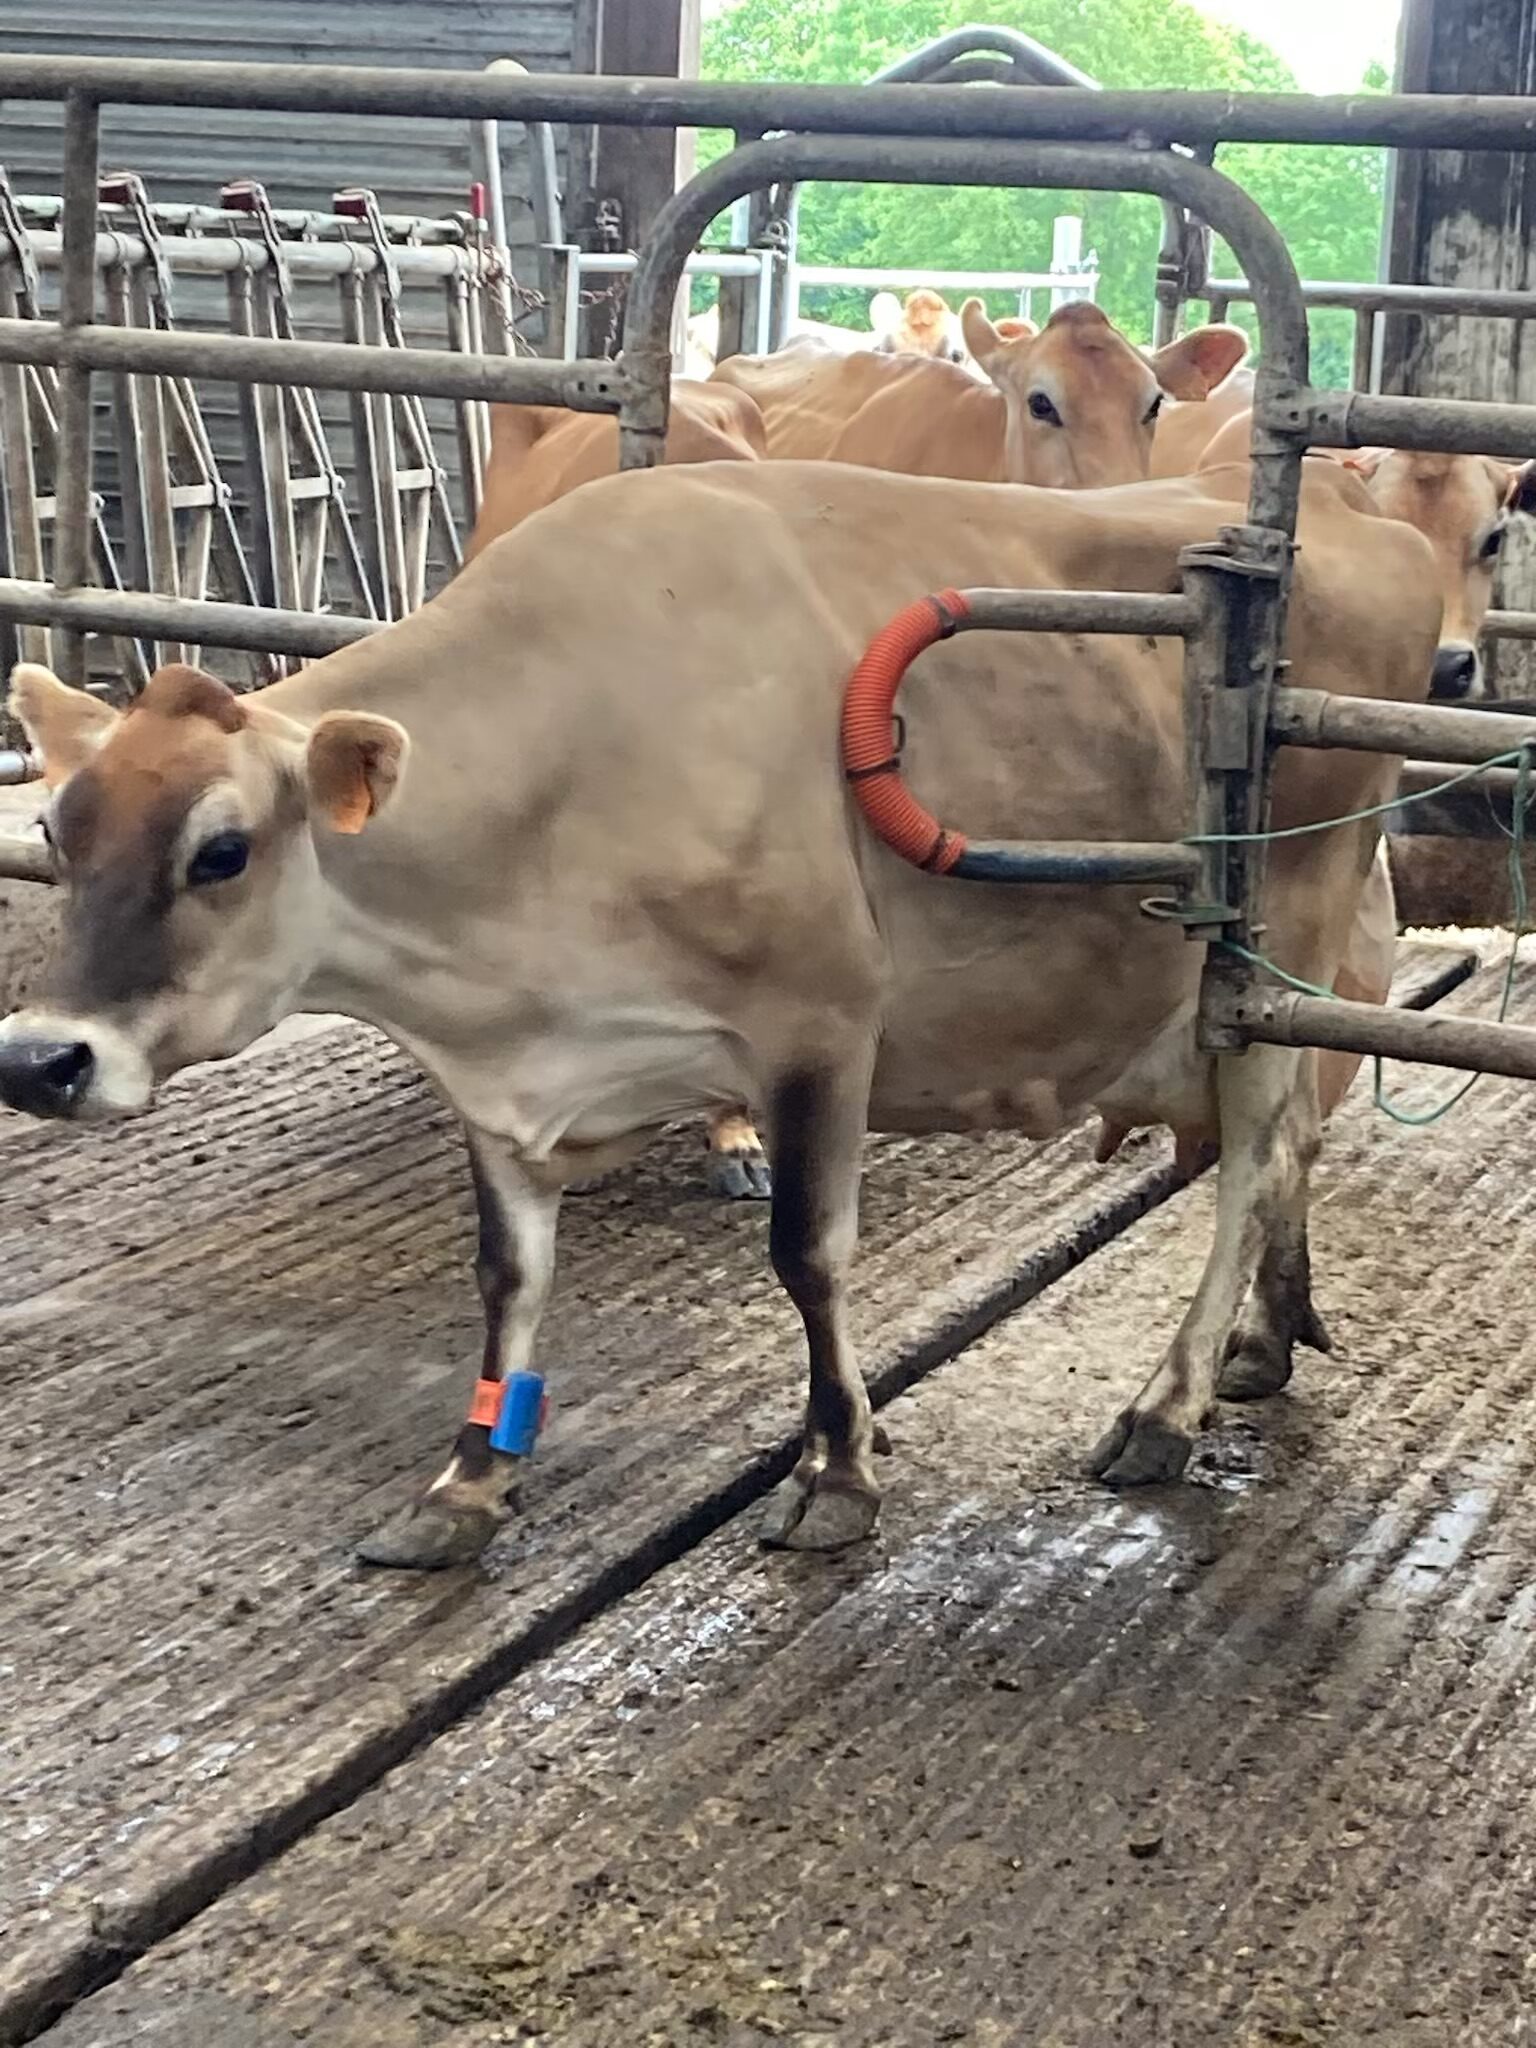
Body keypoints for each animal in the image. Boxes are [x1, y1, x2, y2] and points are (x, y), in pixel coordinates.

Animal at [0, 455, 1439, 1569]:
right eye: (55, 830)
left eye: (222, 850)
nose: (40, 1058)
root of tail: (1358, 508)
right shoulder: (502, 1082)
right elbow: (508, 1277)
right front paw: (465, 1484)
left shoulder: (822, 1020)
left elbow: (807, 1254)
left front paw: (838, 1471)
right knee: (1289, 1154)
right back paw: (1265, 1340)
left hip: (1270, 964)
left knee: (1260, 1154)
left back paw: (1168, 1405)